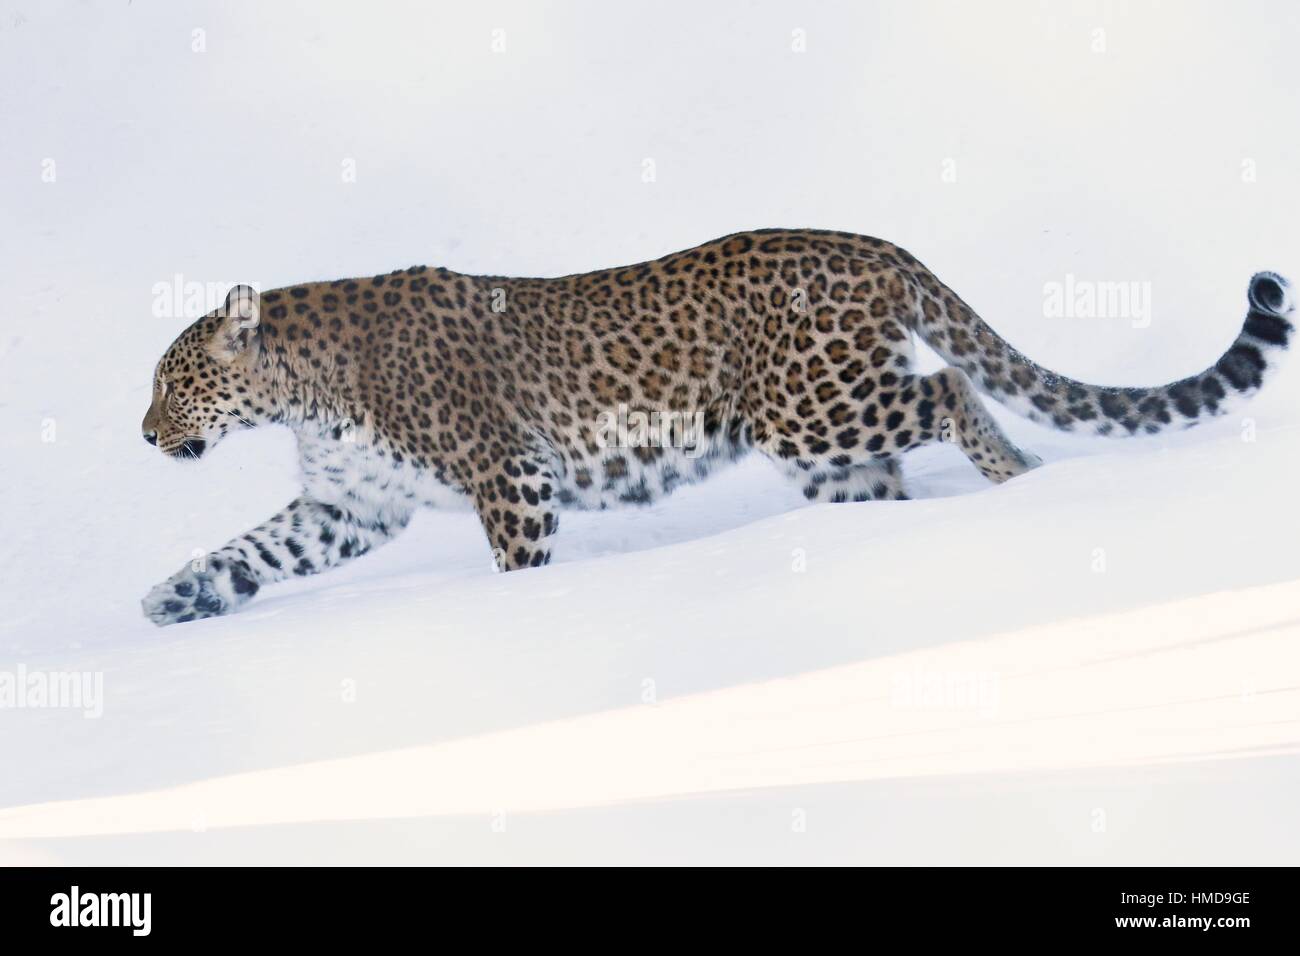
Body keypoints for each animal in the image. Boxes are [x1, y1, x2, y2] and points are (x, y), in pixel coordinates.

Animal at [140, 229, 1294, 626]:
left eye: (172, 379)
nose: (147, 436)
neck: (300, 390)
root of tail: (872, 244)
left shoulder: (511, 479)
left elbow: (522, 569)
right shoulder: (352, 507)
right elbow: (255, 551)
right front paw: (173, 599)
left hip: (812, 409)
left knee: (952, 393)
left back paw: (1021, 477)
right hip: (832, 452)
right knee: (890, 480)